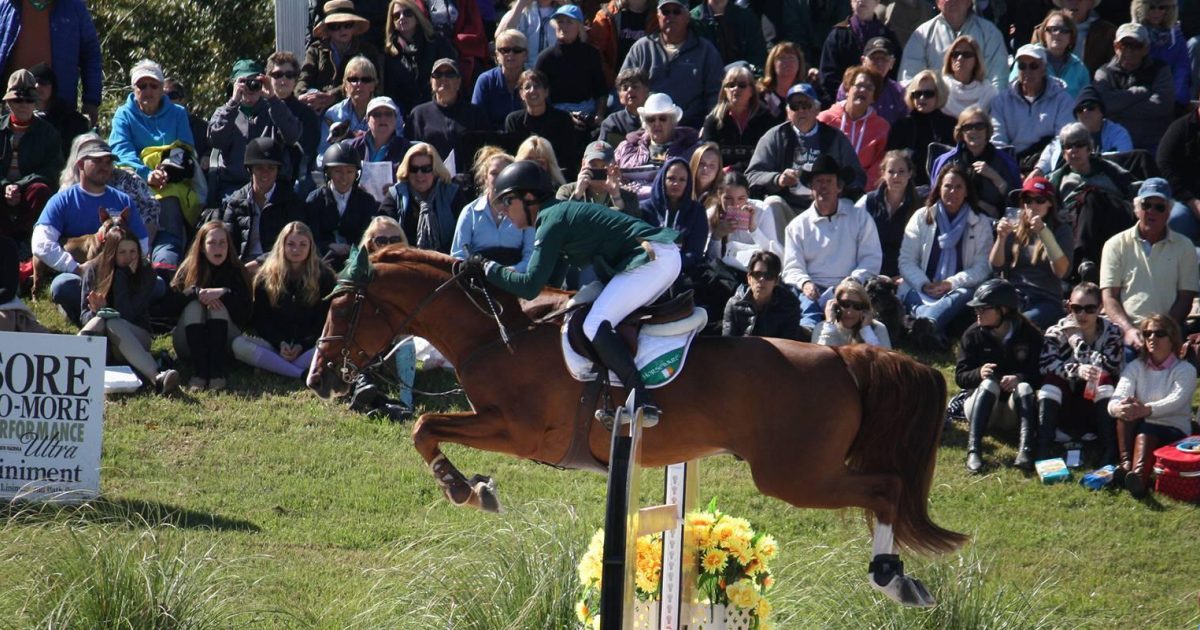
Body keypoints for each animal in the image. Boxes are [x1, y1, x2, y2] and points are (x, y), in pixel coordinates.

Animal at [306, 247, 968, 606]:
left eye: (342, 306)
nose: (318, 378)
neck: (499, 333)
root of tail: (845, 357)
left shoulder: (519, 432)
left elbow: (424, 425)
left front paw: (463, 488)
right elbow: (428, 426)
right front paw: (477, 486)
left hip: (794, 476)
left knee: (885, 490)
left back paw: (892, 579)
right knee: (885, 491)